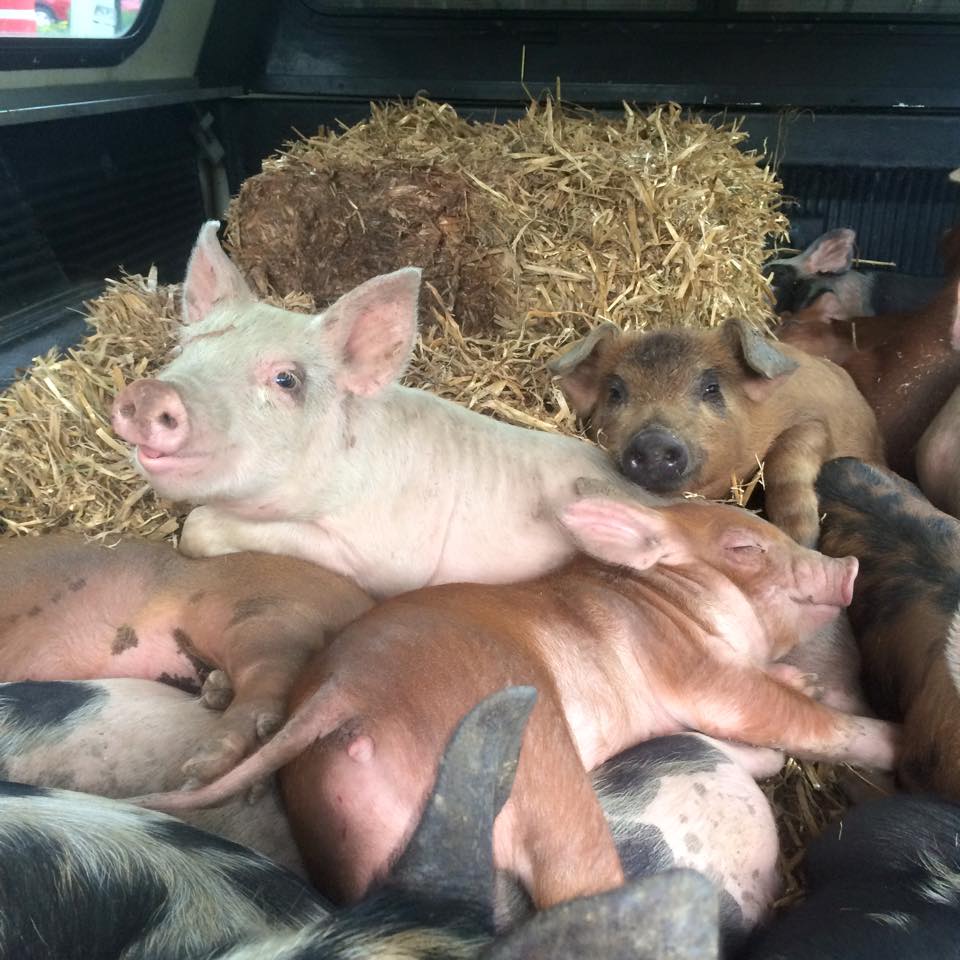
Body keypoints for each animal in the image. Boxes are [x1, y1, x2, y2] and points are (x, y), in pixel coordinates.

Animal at [134, 491, 897, 913]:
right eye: (744, 546)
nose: (848, 565)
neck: (669, 600)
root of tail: (337, 693)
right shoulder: (692, 669)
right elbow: (793, 719)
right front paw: (891, 738)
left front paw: (802, 685)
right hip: (537, 761)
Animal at [547, 319, 884, 546]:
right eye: (615, 393)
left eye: (711, 388)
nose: (655, 440)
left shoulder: (813, 422)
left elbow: (788, 458)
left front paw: (803, 539)